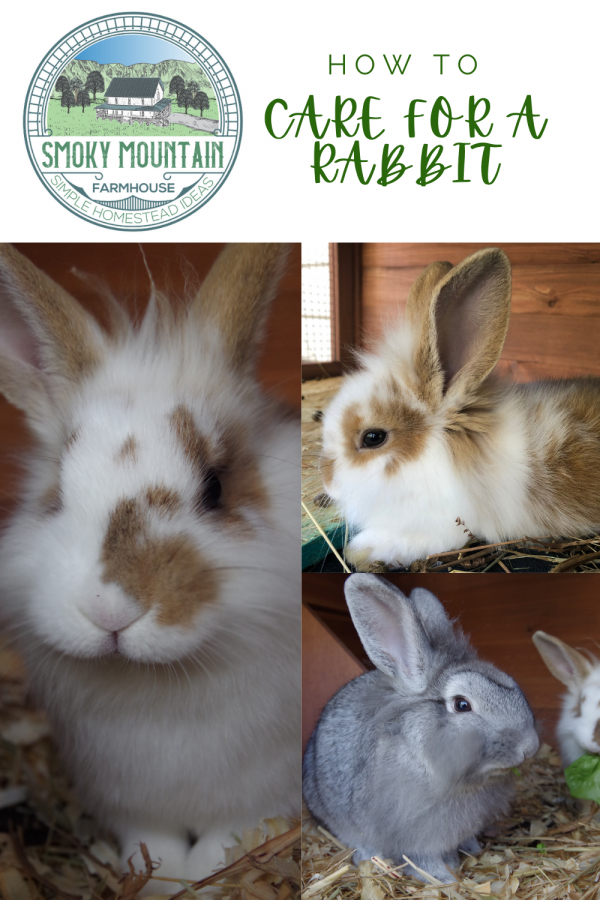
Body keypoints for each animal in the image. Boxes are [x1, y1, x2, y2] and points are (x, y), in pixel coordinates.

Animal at [0, 243, 301, 892]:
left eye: (215, 488)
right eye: (57, 495)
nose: (110, 609)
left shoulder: (257, 797)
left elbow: (221, 848)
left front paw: (198, 880)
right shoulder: (132, 806)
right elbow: (152, 848)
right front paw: (161, 882)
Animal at [303, 574, 539, 884]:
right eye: (462, 705)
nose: (530, 747)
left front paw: (472, 850)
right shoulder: (415, 838)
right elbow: (424, 860)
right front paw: (447, 880)